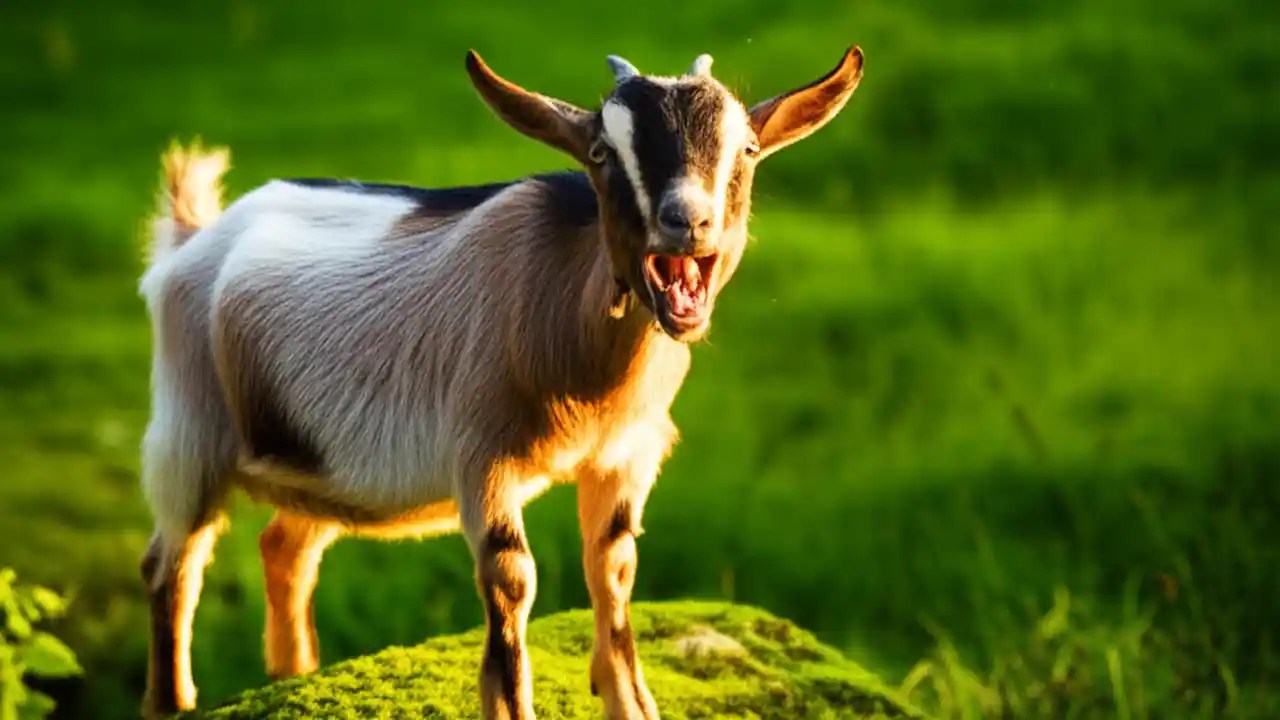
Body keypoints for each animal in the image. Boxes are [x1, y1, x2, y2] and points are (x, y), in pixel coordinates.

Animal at [138, 46, 863, 719]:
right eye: (602, 151)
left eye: (747, 148)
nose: (688, 221)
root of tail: (192, 240)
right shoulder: (483, 454)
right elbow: (512, 578)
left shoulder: (626, 455)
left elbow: (614, 568)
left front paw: (631, 702)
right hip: (189, 428)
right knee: (171, 564)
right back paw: (174, 699)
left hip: (323, 465)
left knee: (285, 548)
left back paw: (296, 679)